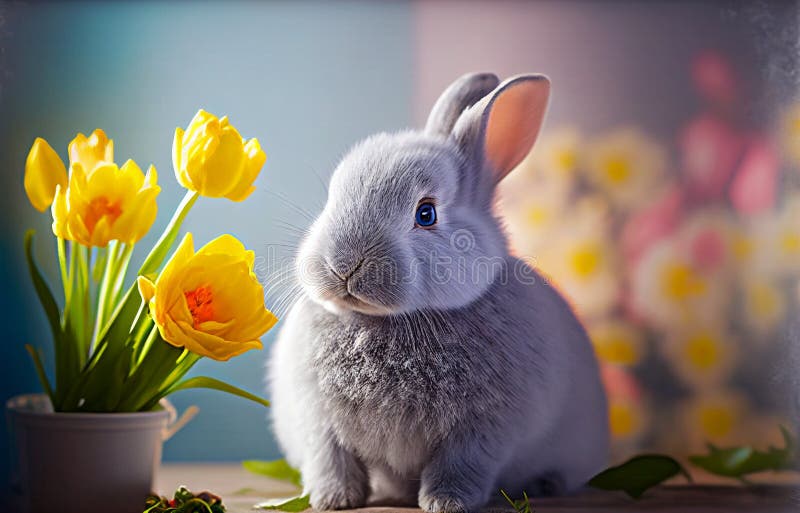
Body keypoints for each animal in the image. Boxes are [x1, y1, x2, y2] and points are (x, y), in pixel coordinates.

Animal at [268, 72, 609, 513]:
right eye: (332, 196)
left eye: (426, 213)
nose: (343, 264)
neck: (386, 321)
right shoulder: (318, 425)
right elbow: (332, 462)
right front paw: (332, 500)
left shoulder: (481, 431)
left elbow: (458, 468)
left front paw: (446, 503)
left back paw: (545, 484)